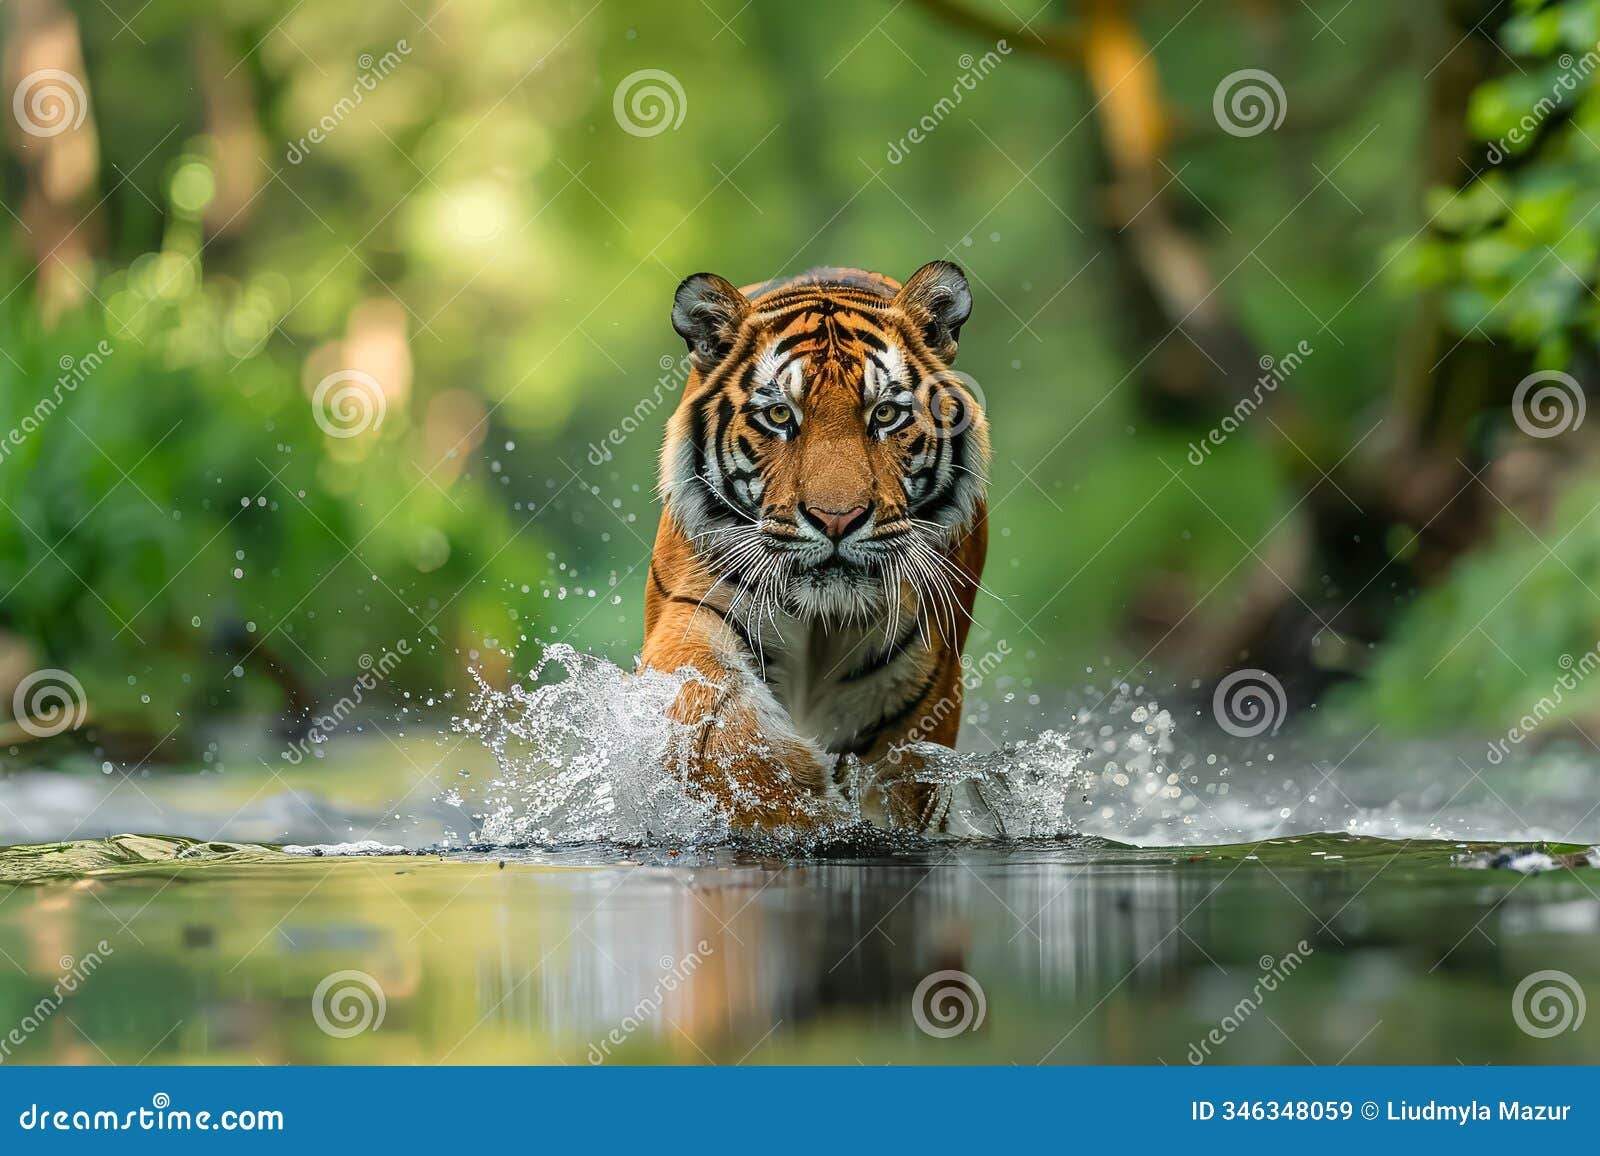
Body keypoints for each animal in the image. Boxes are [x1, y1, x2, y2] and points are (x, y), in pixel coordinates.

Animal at [641, 261, 989, 833]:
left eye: (886, 414)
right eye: (781, 416)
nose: (837, 519)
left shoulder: (927, 685)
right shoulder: (693, 612)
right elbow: (715, 720)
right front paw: (796, 798)